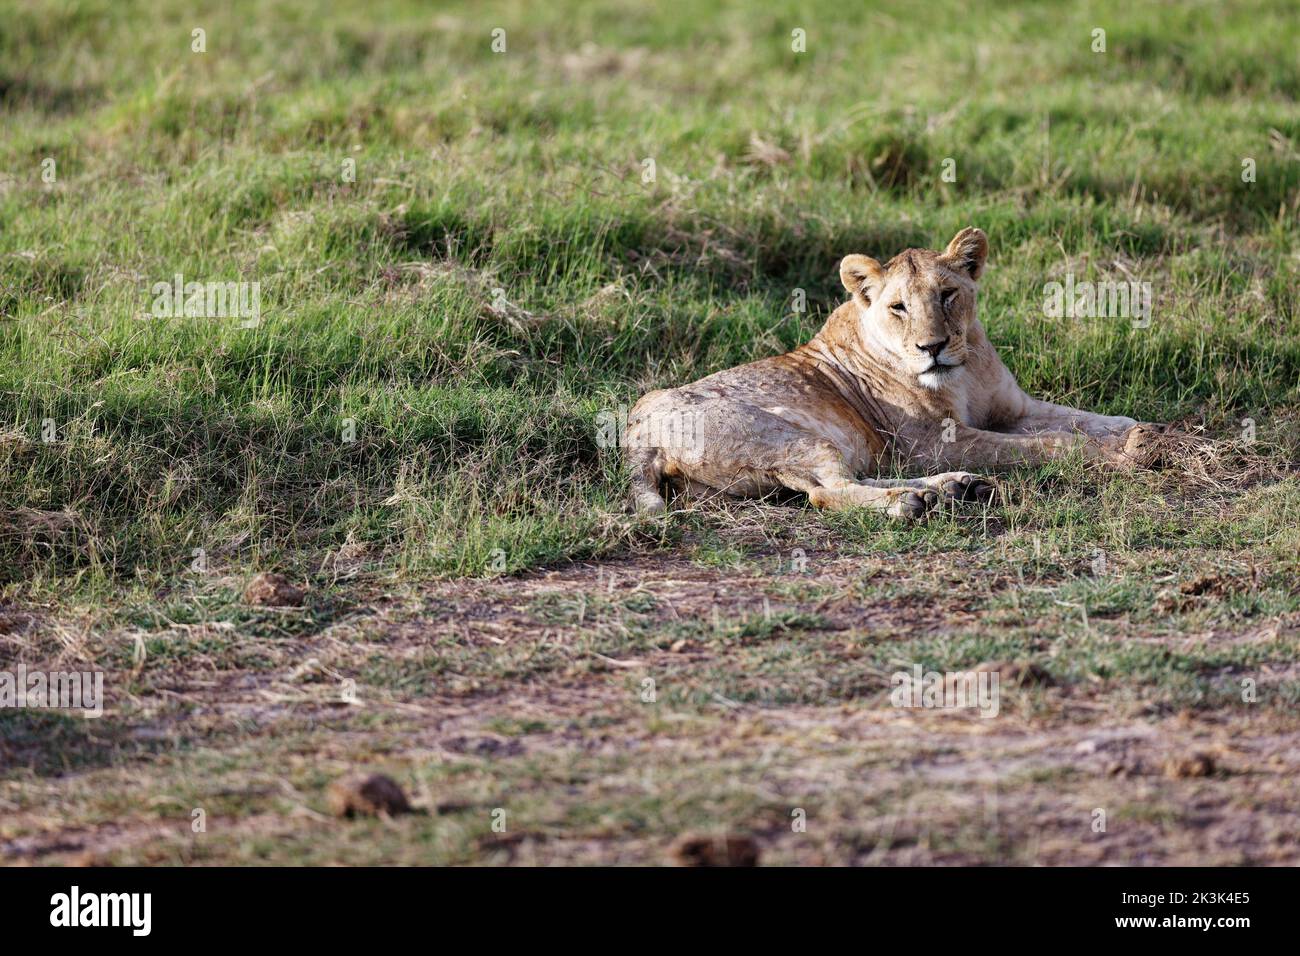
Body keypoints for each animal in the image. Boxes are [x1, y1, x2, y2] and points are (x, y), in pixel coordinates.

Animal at [625, 227, 1164, 518]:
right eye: (898, 307)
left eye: (947, 295)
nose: (933, 347)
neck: (965, 369)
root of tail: (632, 432)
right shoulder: (935, 440)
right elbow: (1050, 444)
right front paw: (1114, 455)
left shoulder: (1013, 410)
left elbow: (1086, 417)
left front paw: (1145, 434)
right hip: (790, 437)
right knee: (827, 492)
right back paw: (911, 503)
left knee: (853, 478)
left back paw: (953, 489)